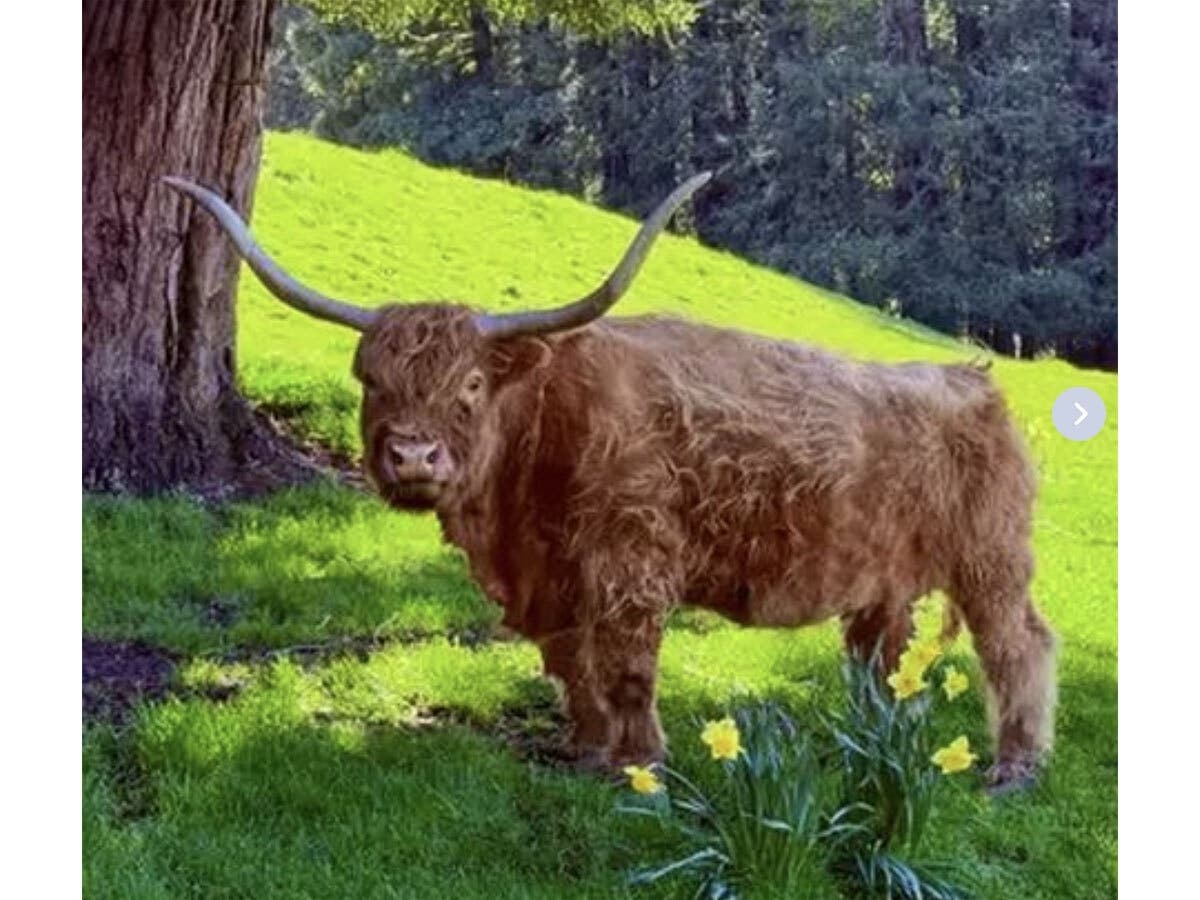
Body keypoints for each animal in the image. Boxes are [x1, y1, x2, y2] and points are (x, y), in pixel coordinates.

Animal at [163, 174, 1056, 793]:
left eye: (471, 384)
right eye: (372, 381)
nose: (413, 458)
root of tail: (972, 378)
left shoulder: (630, 565)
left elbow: (626, 666)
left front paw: (642, 767)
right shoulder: (549, 582)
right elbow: (570, 665)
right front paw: (586, 751)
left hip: (991, 558)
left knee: (1019, 645)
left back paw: (1013, 769)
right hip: (884, 577)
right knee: (879, 656)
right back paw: (864, 739)